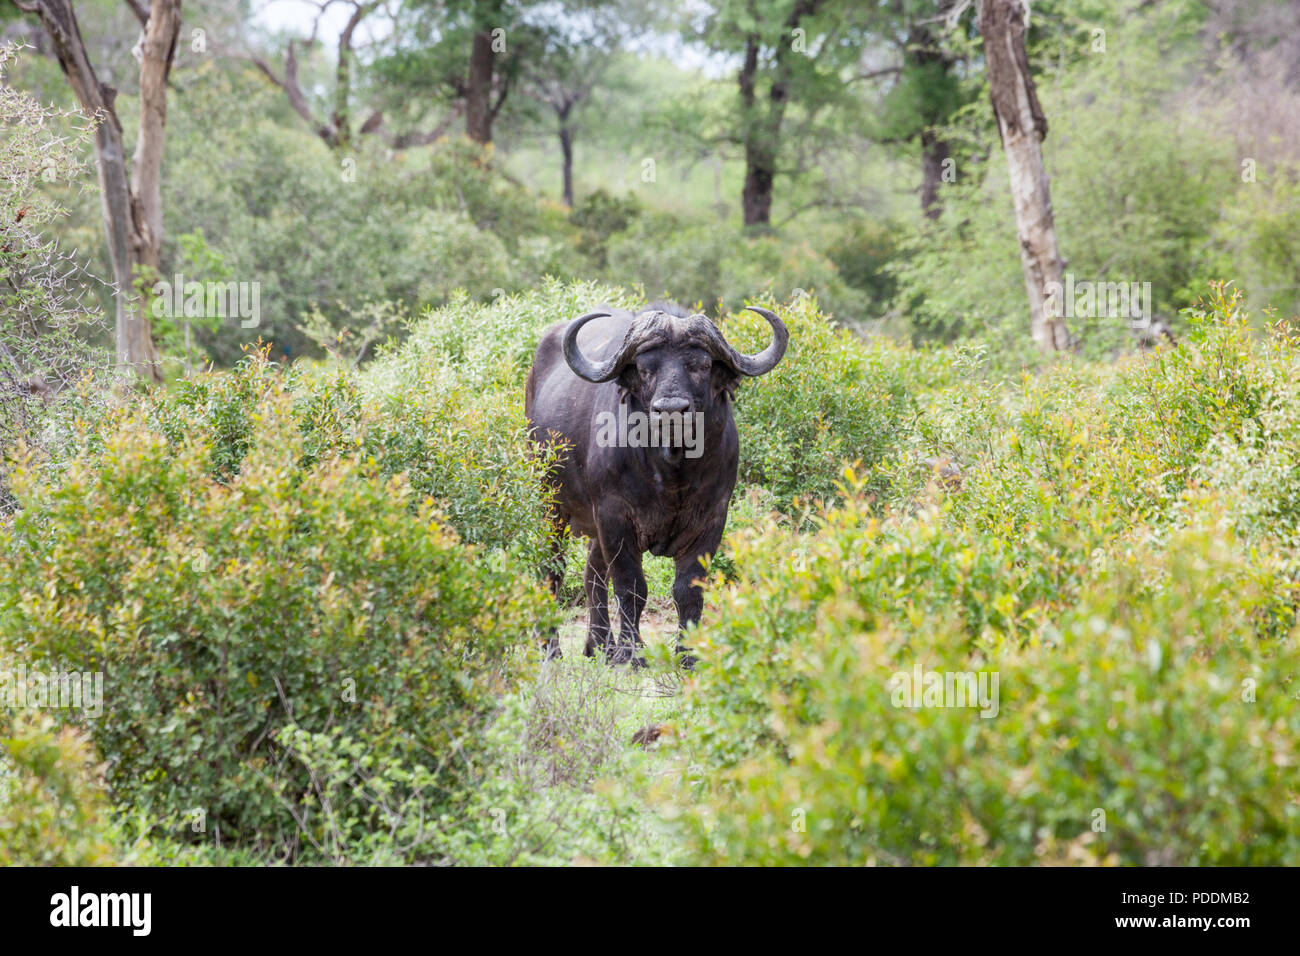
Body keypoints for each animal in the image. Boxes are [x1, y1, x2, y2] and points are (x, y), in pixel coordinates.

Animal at [524, 301, 788, 665]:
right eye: (645, 368)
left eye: (702, 365)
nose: (672, 410)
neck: (671, 472)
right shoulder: (615, 516)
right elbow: (631, 586)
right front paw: (631, 655)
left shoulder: (712, 518)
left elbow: (688, 589)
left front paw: (688, 654)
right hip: (550, 506)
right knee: (553, 570)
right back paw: (552, 647)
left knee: (592, 573)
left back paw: (600, 645)